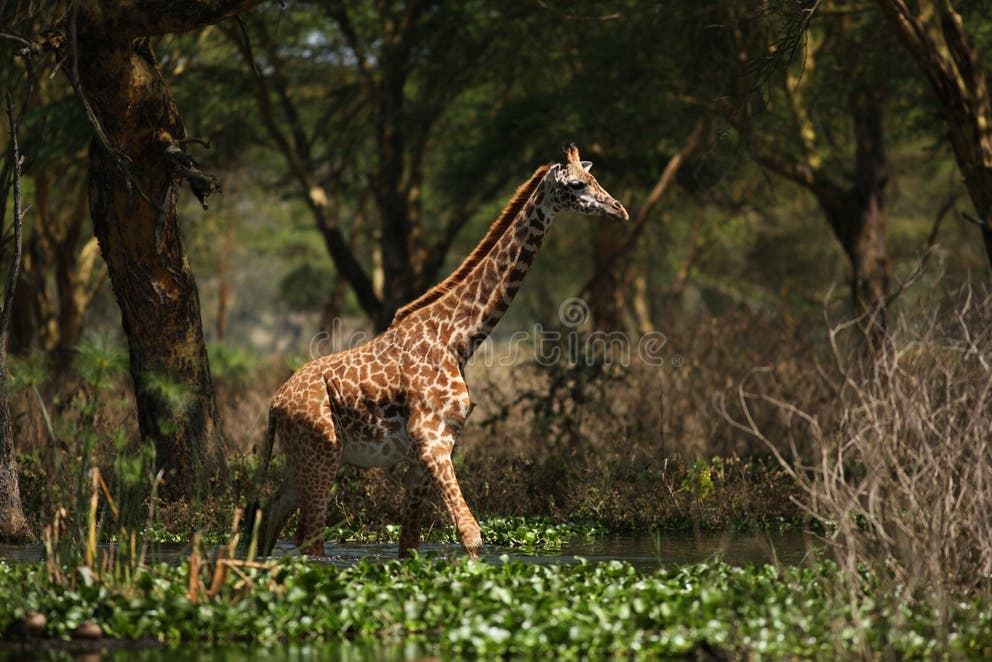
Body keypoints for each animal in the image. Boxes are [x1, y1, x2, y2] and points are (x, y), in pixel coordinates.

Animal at [257, 144, 628, 558]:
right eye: (577, 184)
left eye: (596, 179)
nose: (619, 210)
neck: (458, 339)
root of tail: (275, 403)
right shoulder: (432, 440)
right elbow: (471, 534)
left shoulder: (431, 447)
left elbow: (410, 543)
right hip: (323, 453)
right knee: (311, 539)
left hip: (300, 459)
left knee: (272, 512)